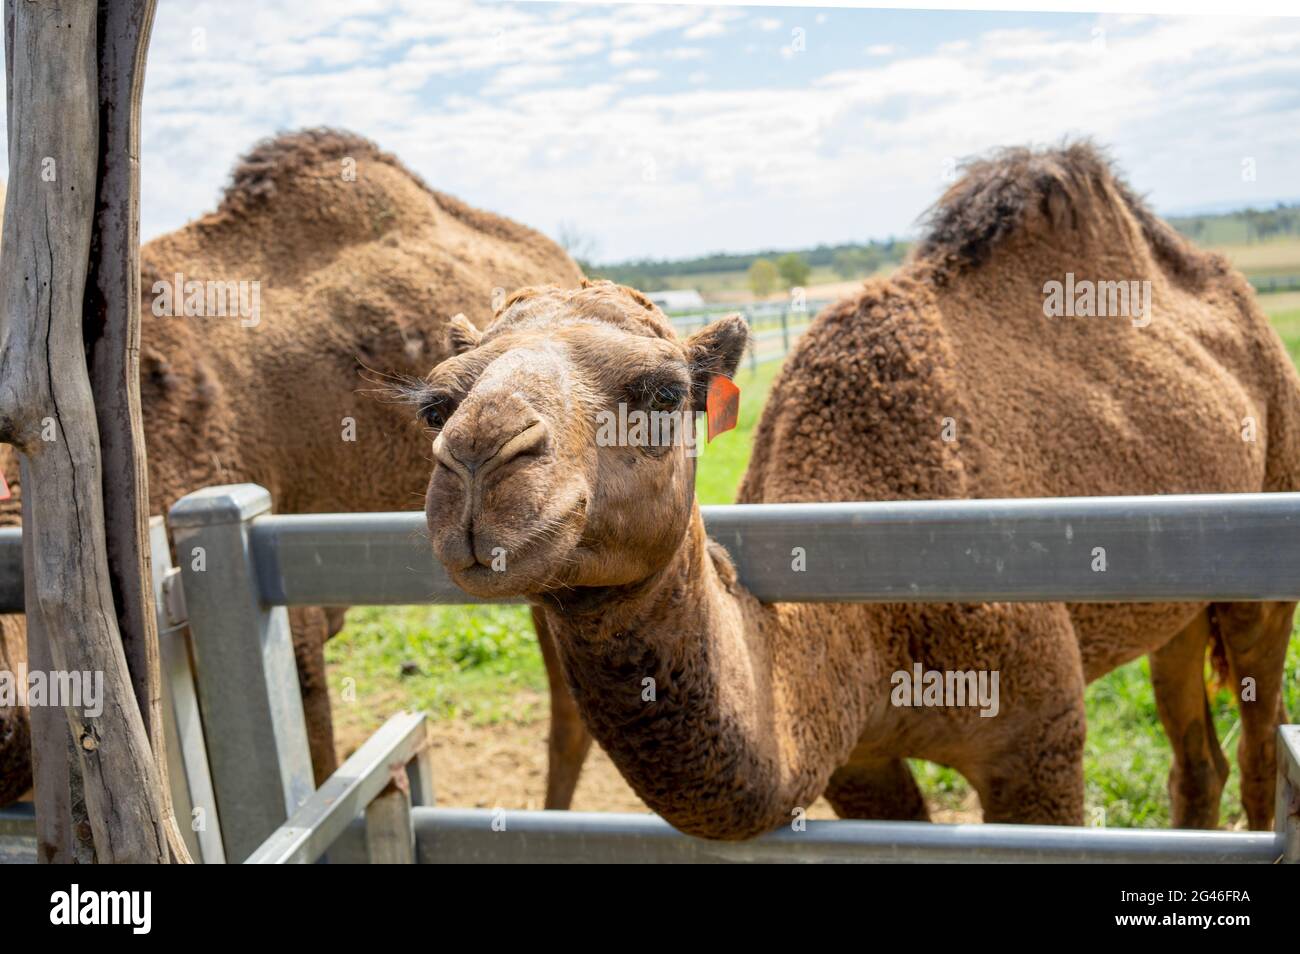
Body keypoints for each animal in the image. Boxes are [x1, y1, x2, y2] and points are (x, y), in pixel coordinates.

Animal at [411, 143, 1300, 837]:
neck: (876, 622)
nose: (482, 458)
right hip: (1176, 601)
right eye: (435, 405)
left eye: (664, 395)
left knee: (1259, 736)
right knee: (1197, 751)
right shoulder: (855, 757)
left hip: (1267, 524)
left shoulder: (1039, 738)